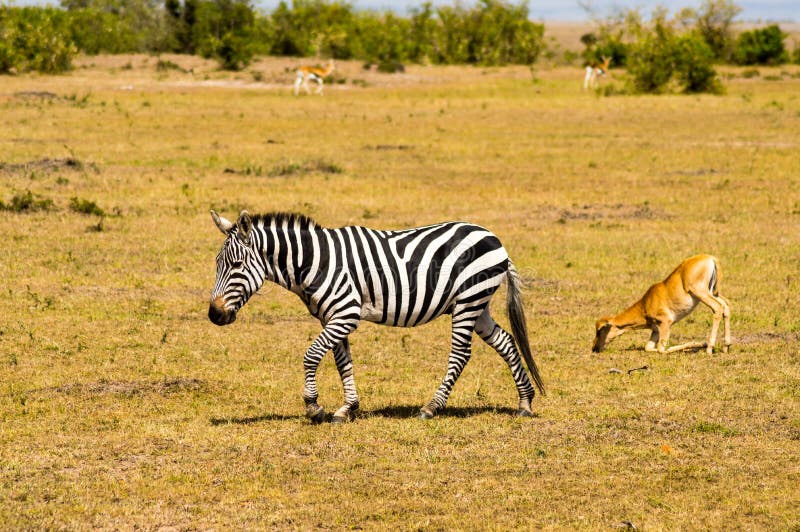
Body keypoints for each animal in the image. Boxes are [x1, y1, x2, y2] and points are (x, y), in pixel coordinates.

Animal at [208, 210, 545, 422]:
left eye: (236, 265)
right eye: (217, 264)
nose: (214, 314)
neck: (316, 262)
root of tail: (494, 238)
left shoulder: (346, 313)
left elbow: (311, 354)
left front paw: (313, 406)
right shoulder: (332, 316)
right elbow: (342, 361)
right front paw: (347, 408)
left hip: (468, 301)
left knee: (461, 354)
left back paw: (431, 407)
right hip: (477, 304)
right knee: (506, 342)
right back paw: (525, 402)